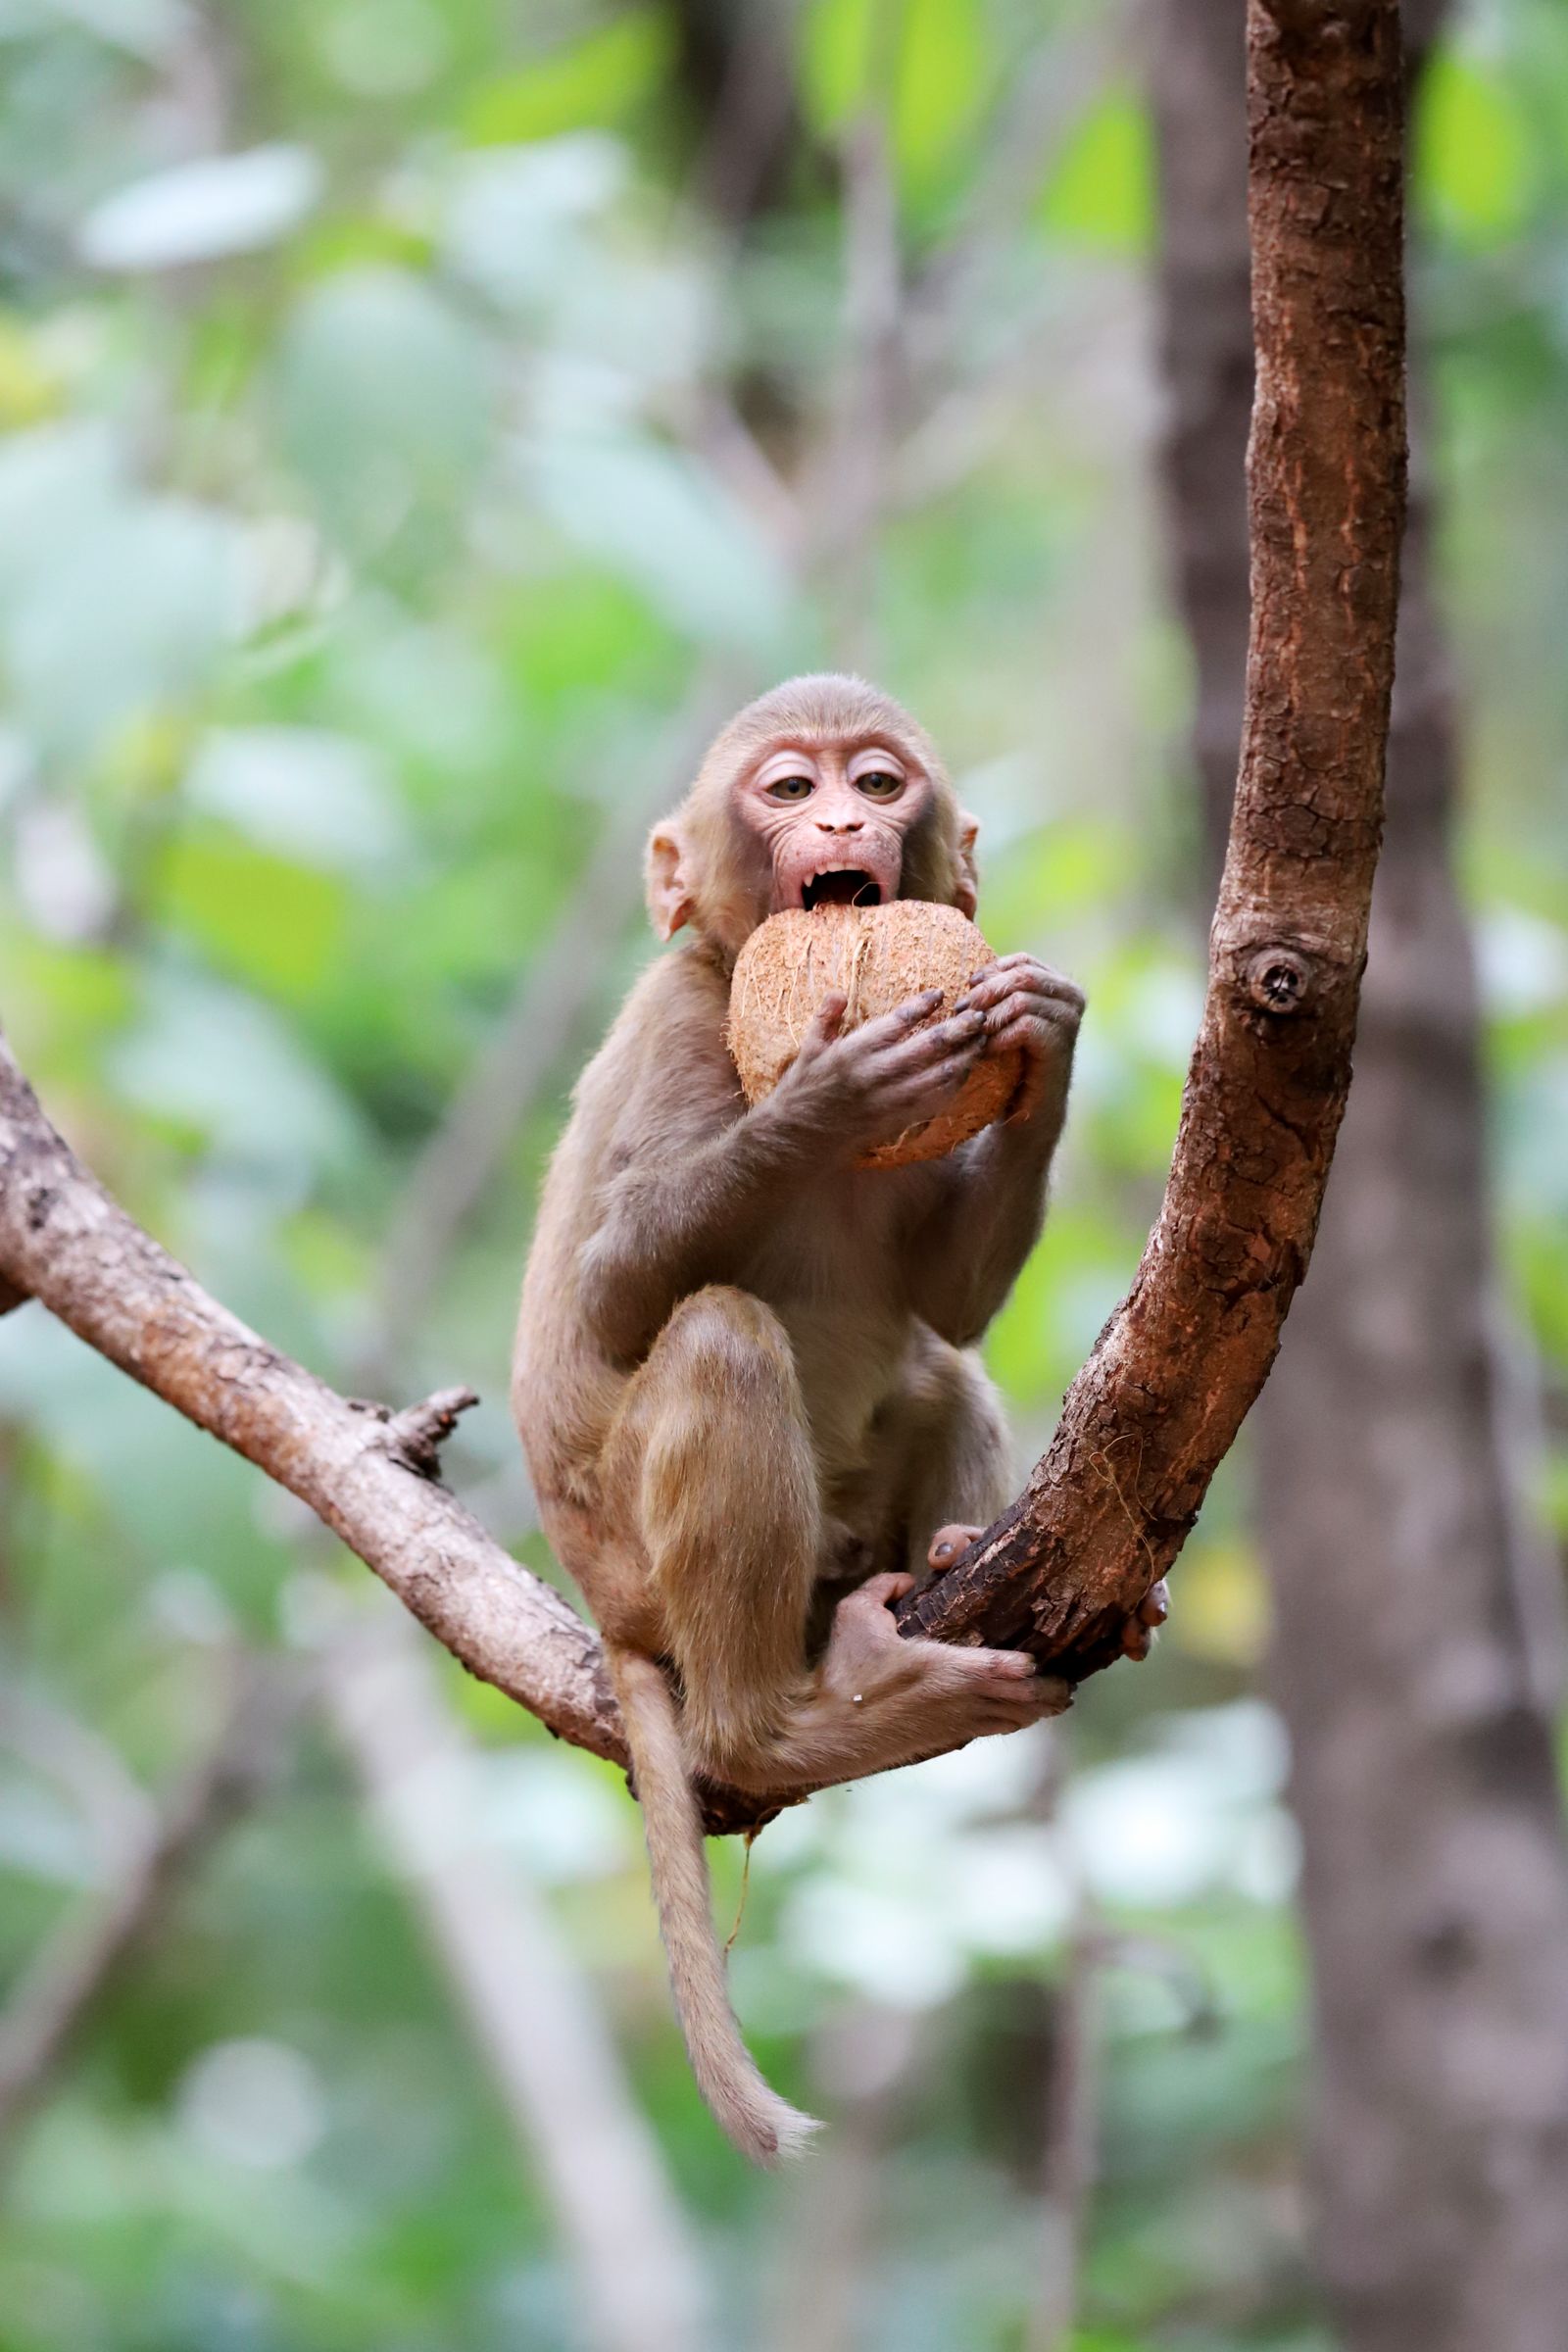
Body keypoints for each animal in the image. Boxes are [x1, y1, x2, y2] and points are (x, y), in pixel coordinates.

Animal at [511, 674, 1166, 2165]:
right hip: (640, 1556)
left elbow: (953, 1304)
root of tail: (605, 1607)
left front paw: (1045, 1037)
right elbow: (617, 1289)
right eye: (787, 791)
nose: (840, 825)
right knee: (716, 1337)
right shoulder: (678, 1027)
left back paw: (947, 1571)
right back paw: (784, 1727)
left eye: (876, 783)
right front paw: (827, 1094)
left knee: (938, 1376)